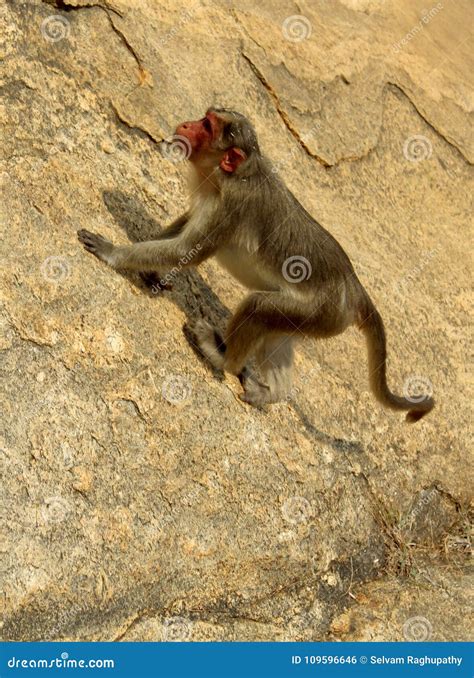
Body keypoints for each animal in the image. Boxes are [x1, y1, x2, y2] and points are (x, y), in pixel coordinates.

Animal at [78, 108, 434, 422]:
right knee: (276, 332)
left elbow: (186, 250)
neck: (233, 174)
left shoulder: (232, 207)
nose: (186, 124)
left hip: (323, 311)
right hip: (317, 320)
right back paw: (274, 393)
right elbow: (183, 230)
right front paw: (152, 273)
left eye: (206, 125)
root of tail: (353, 284)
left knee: (259, 306)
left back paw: (224, 358)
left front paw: (113, 252)